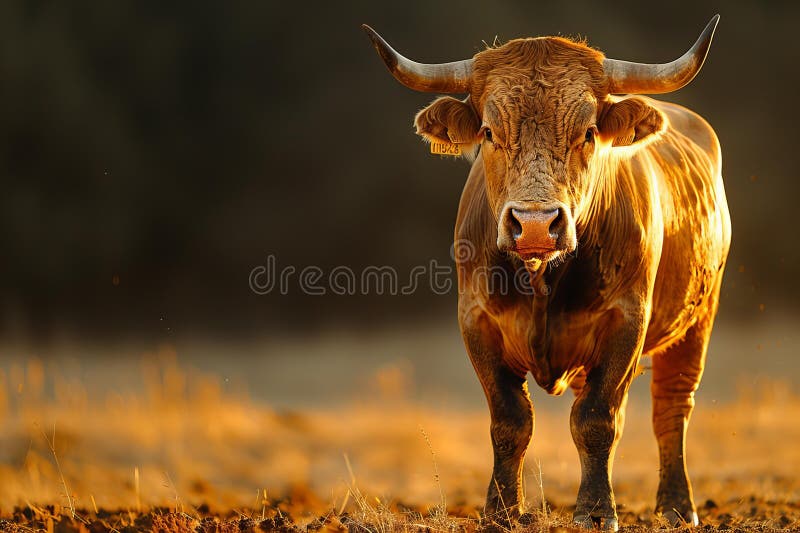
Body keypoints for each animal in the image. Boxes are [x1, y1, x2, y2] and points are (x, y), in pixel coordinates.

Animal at [363, 15, 730, 531]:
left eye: (589, 132)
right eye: (489, 132)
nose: (535, 224)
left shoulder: (627, 321)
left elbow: (596, 419)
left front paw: (596, 512)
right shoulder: (476, 321)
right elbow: (511, 420)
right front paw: (501, 510)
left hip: (698, 319)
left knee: (671, 406)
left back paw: (677, 506)